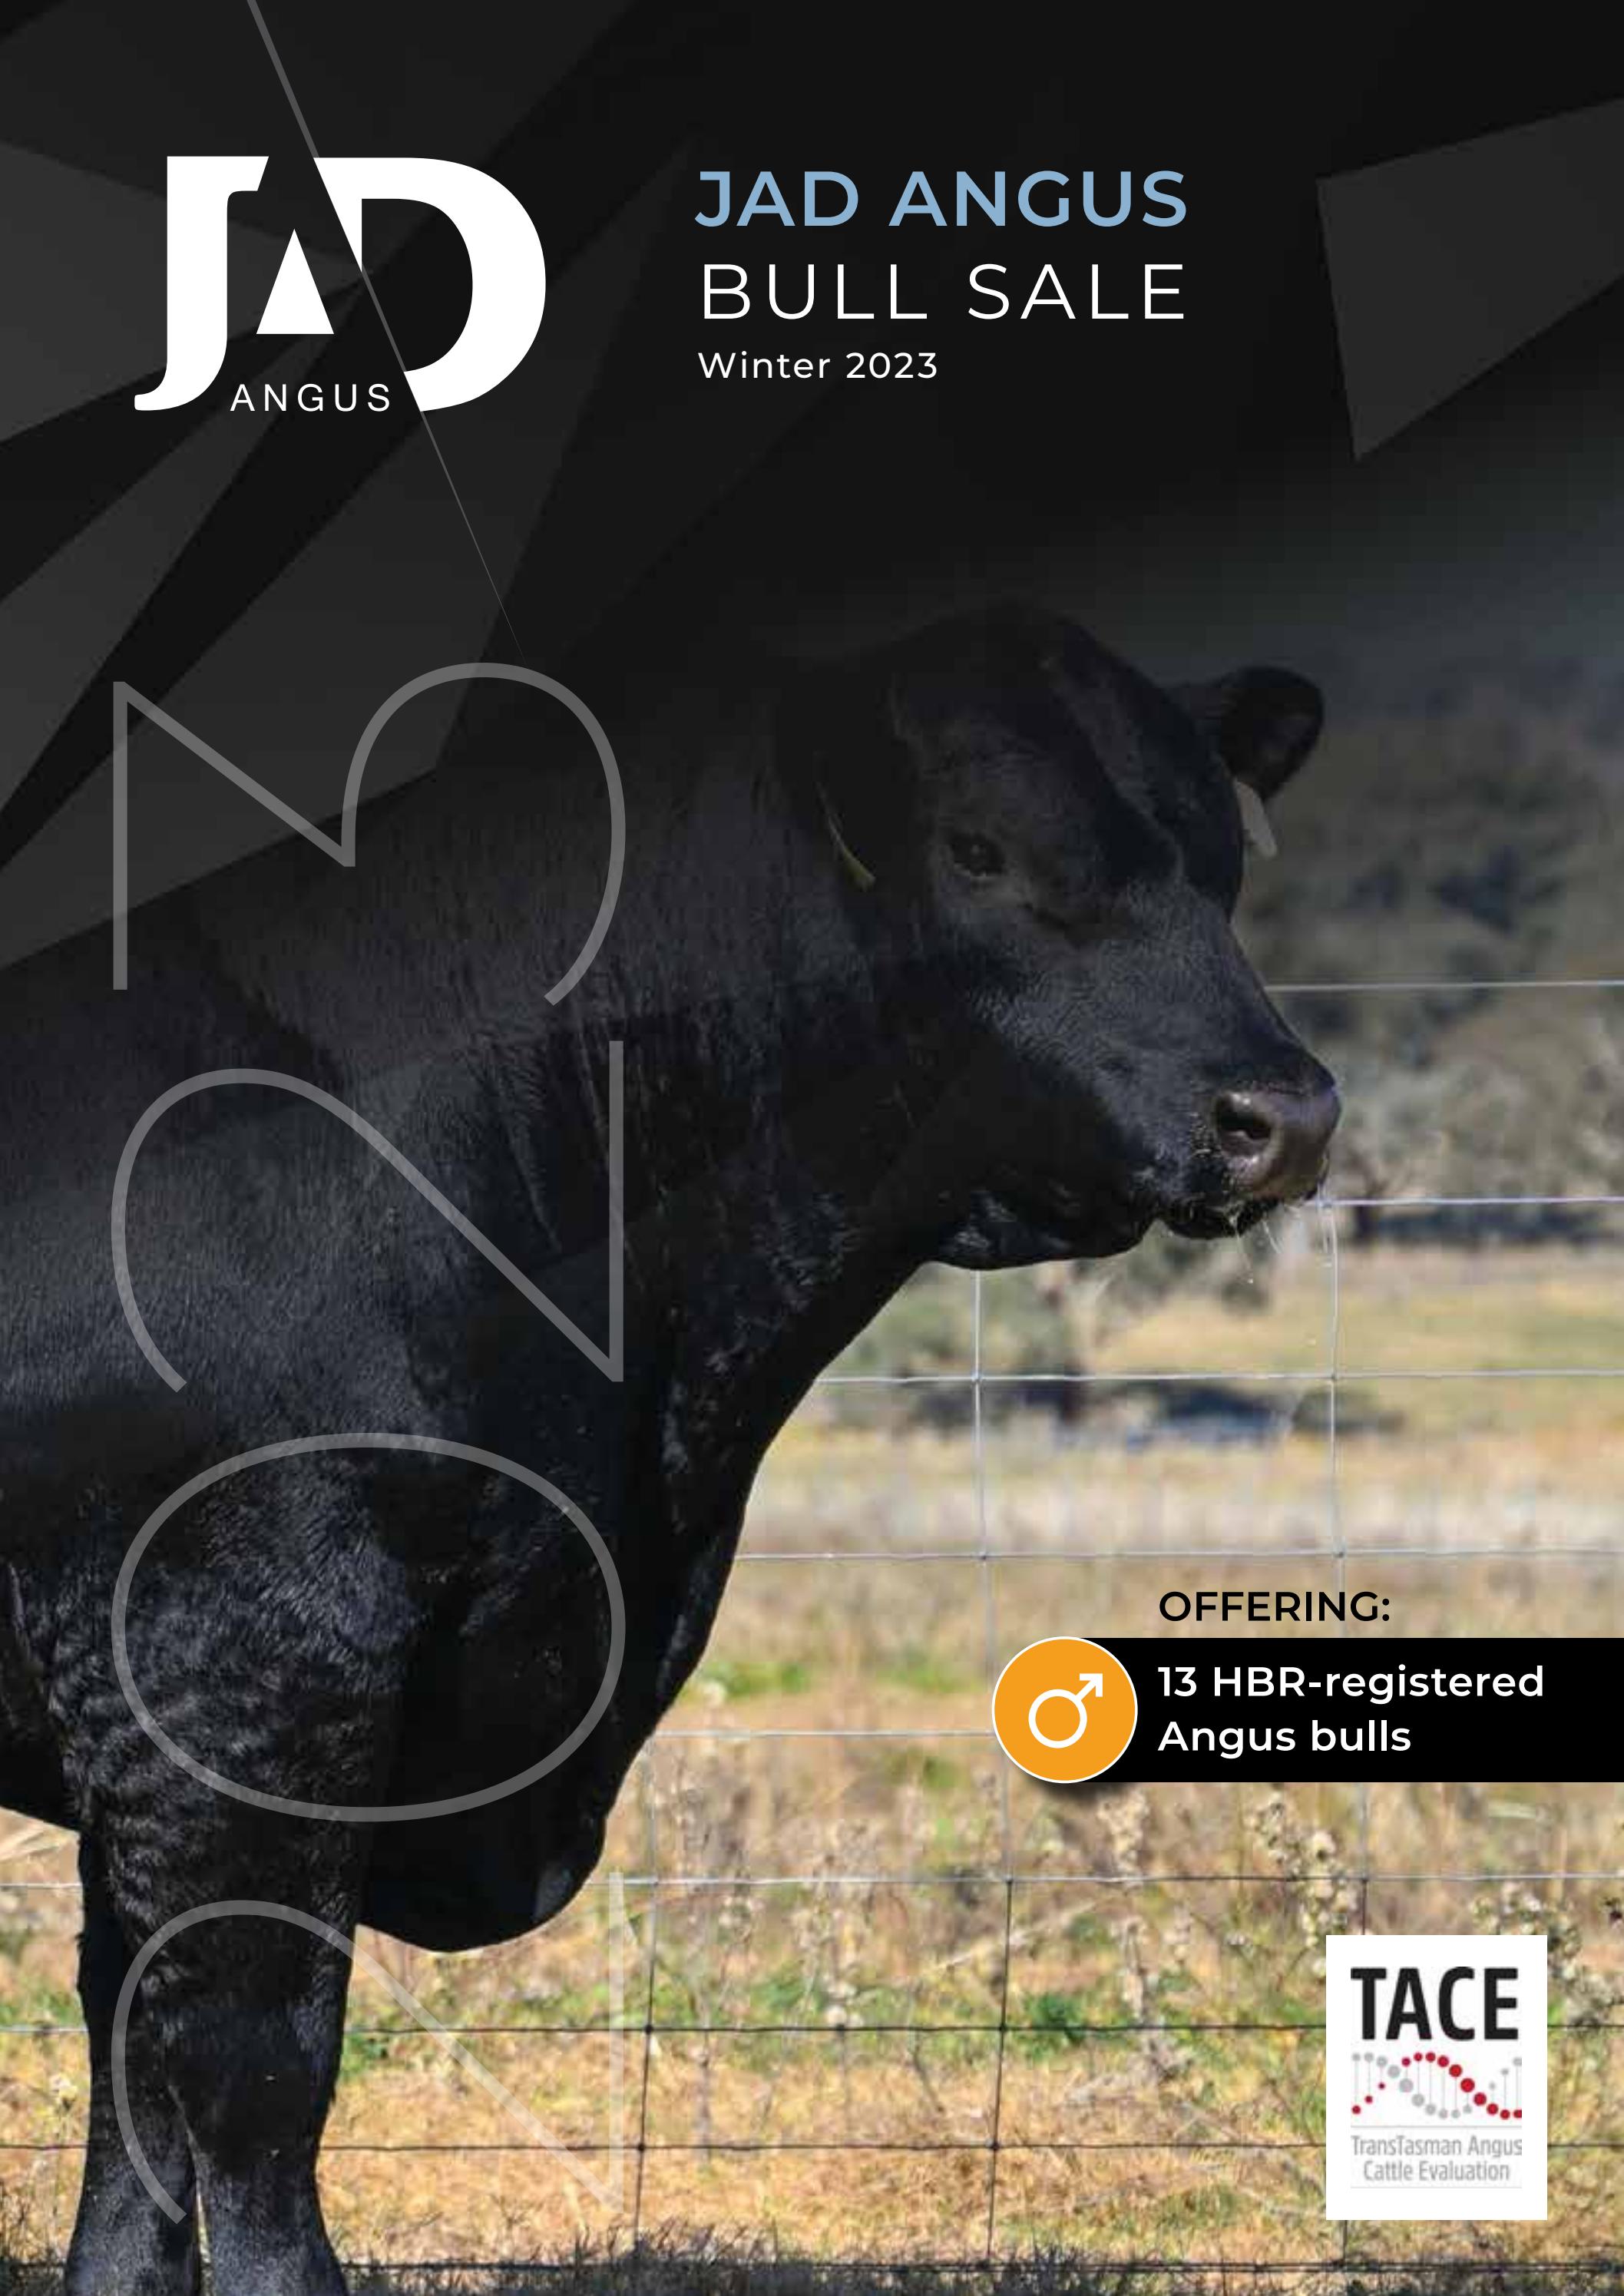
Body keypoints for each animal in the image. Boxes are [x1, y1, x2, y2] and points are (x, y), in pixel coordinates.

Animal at [0, 604, 1337, 2293]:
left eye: (1220, 857)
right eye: (977, 847)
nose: (1281, 1113)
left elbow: (132, 2084)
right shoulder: (240, 1656)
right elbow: (246, 2076)